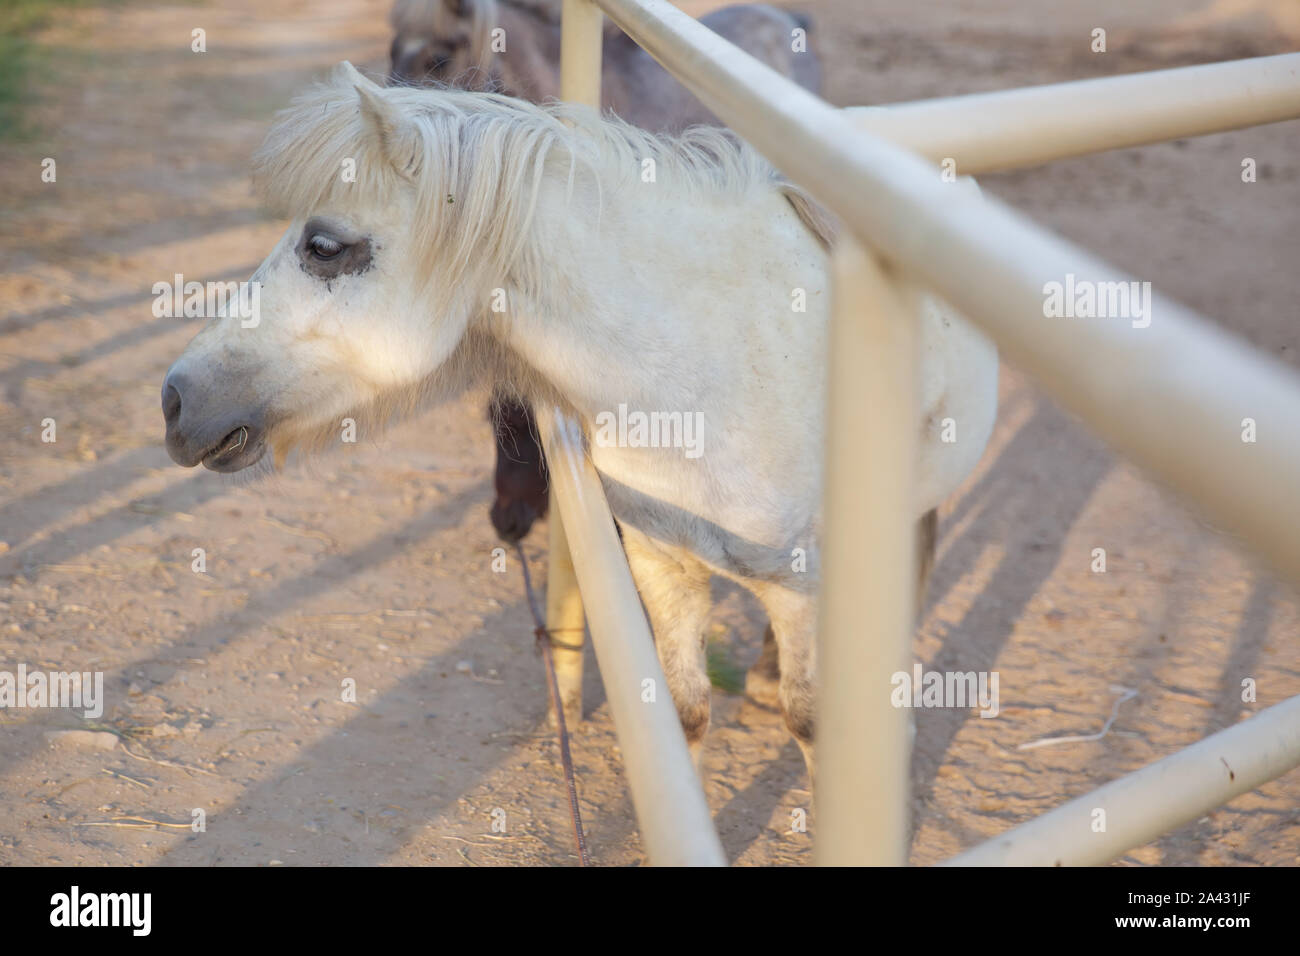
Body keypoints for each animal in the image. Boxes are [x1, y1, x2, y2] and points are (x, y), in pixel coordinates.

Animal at [159, 64, 999, 781]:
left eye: (325, 246)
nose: (174, 400)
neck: (713, 365)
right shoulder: (662, 562)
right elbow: (686, 717)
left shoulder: (794, 587)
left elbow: (810, 724)